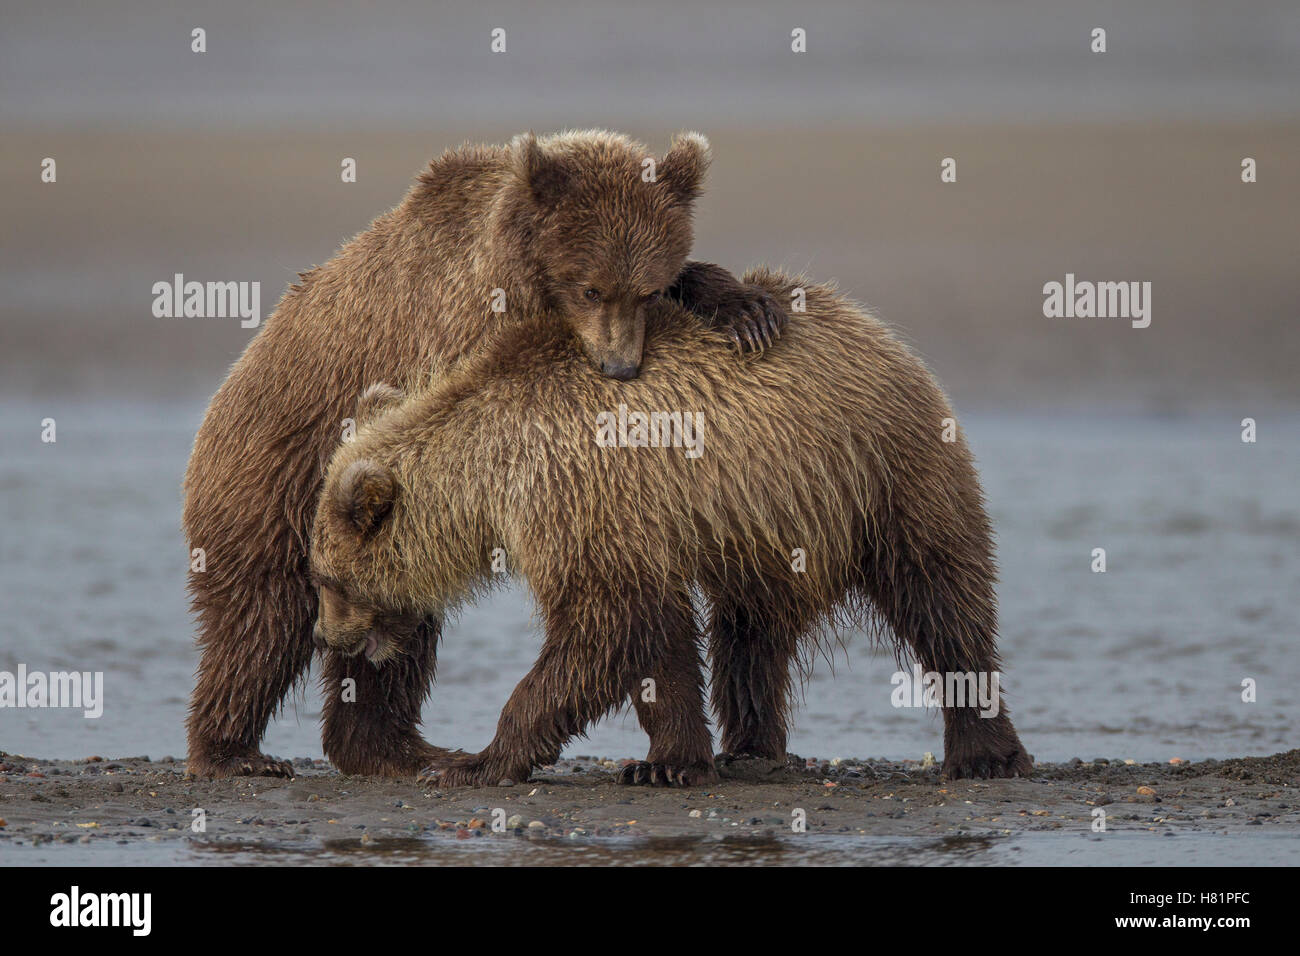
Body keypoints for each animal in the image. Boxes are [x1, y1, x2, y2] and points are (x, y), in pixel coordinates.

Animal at [183, 129, 788, 779]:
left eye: (644, 288)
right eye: (591, 286)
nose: (621, 366)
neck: (521, 274)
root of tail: (212, 411)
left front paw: (747, 310)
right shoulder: (457, 330)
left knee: (388, 622)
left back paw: (398, 748)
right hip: (271, 485)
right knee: (260, 621)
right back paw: (236, 753)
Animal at [309, 267, 1033, 787]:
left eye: (326, 576)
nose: (326, 634)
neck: (492, 474)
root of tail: (880, 331)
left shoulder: (579, 495)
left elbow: (603, 623)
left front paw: (476, 761)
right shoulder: (639, 522)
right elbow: (657, 636)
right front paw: (666, 761)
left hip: (884, 475)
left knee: (941, 598)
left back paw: (984, 752)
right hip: (767, 528)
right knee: (750, 634)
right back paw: (752, 747)